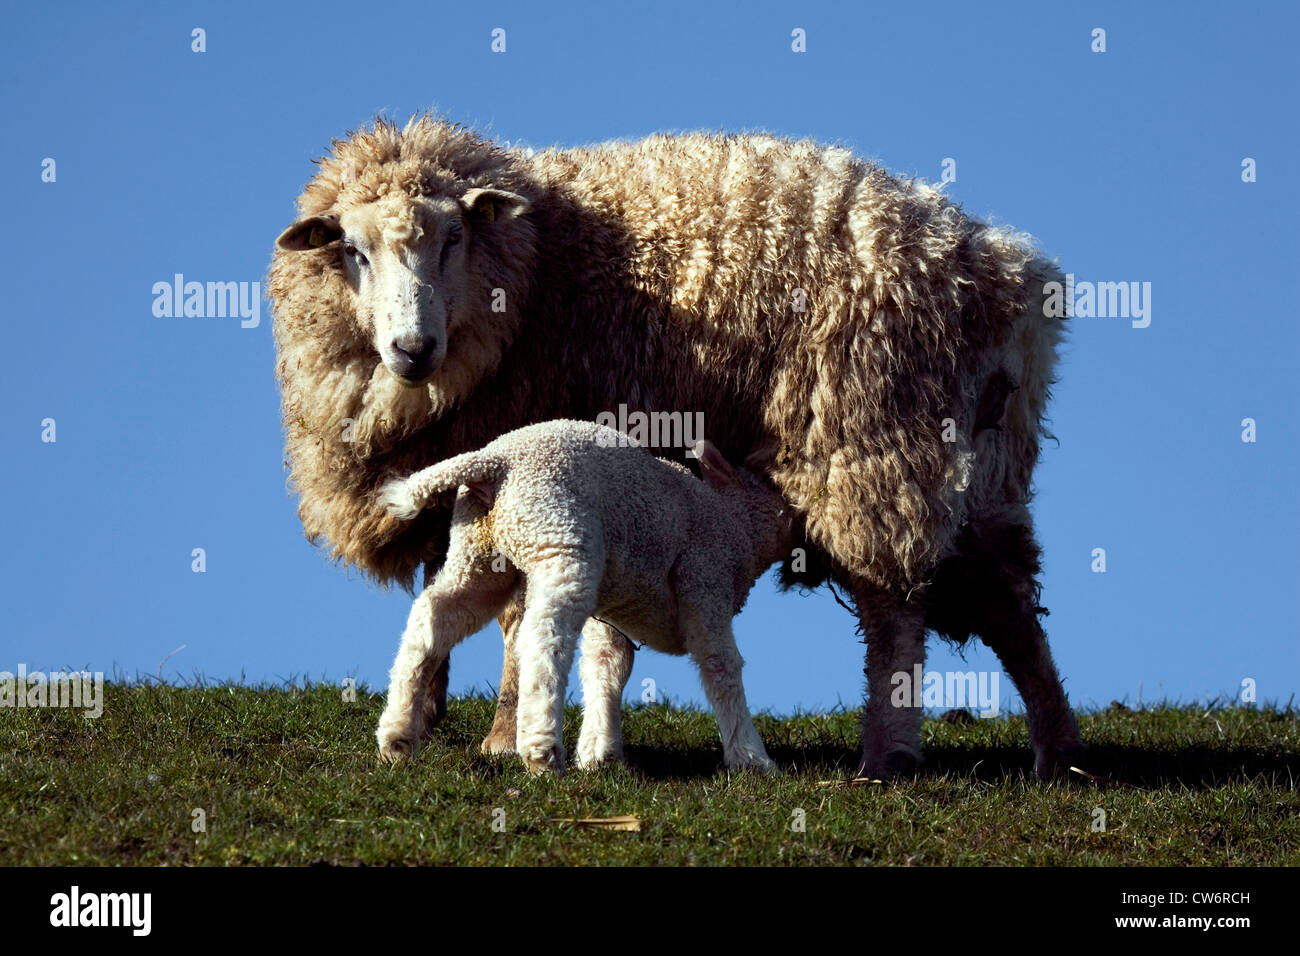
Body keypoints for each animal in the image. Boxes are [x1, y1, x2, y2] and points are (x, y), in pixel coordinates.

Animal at [372, 419, 794, 774]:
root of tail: (494, 462)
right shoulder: (705, 578)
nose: (798, 522)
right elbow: (721, 664)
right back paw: (541, 752)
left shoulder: (613, 607)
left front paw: (599, 752)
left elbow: (606, 666)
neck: (733, 522)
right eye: (776, 493)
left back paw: (397, 737)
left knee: (434, 616)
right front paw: (751, 758)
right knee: (543, 636)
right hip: (560, 535)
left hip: (479, 549)